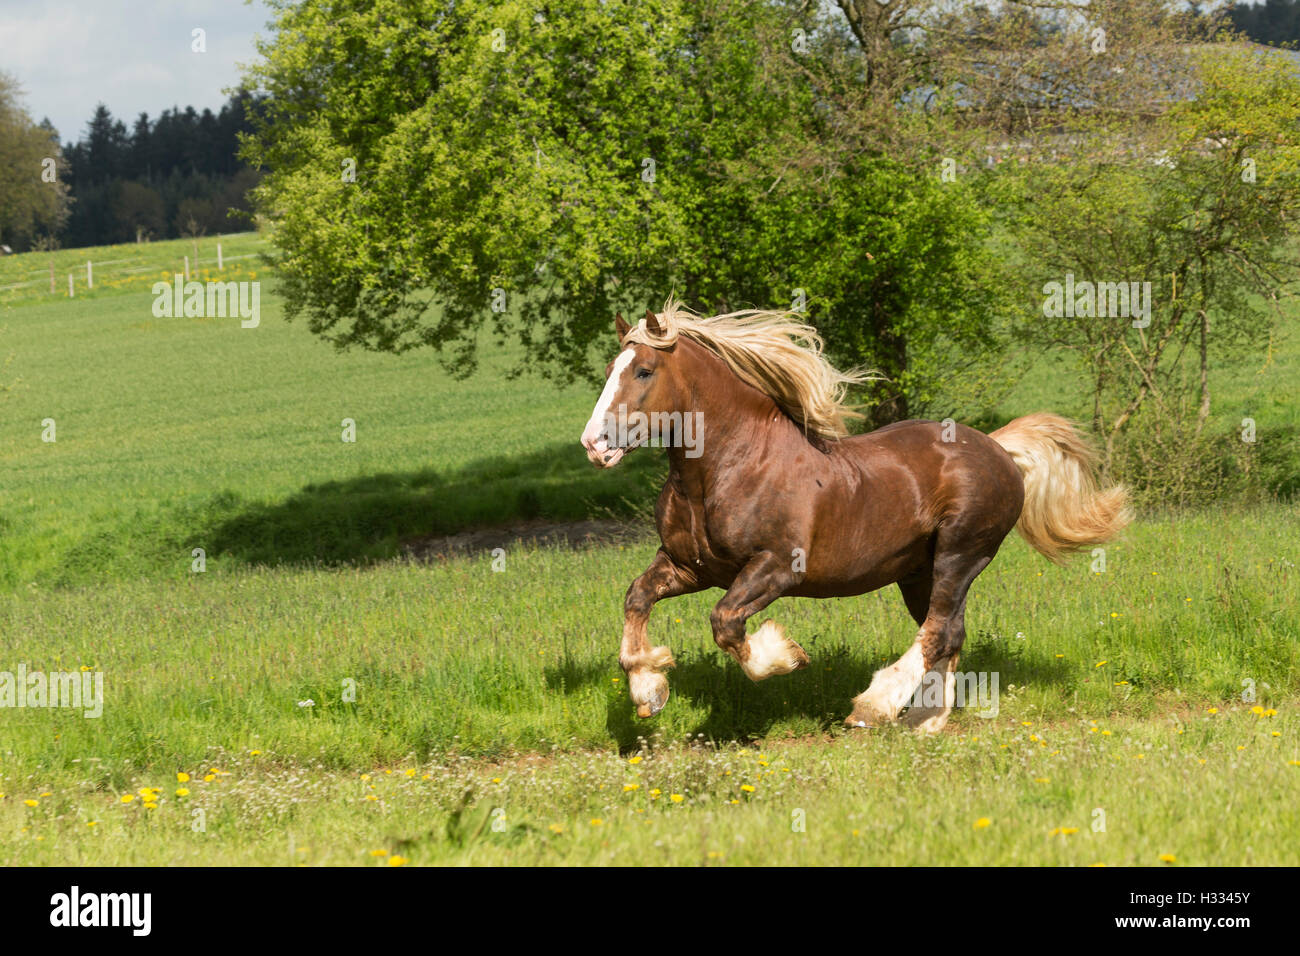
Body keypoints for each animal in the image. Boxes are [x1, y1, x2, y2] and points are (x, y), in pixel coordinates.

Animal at [579, 300, 1131, 733]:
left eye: (643, 371)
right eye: (609, 369)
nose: (594, 444)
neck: (729, 467)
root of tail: (998, 448)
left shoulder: (776, 567)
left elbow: (726, 623)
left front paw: (786, 654)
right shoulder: (689, 566)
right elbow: (637, 597)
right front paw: (649, 689)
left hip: (962, 553)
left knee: (937, 632)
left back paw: (875, 706)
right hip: (919, 571)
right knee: (949, 631)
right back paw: (926, 720)